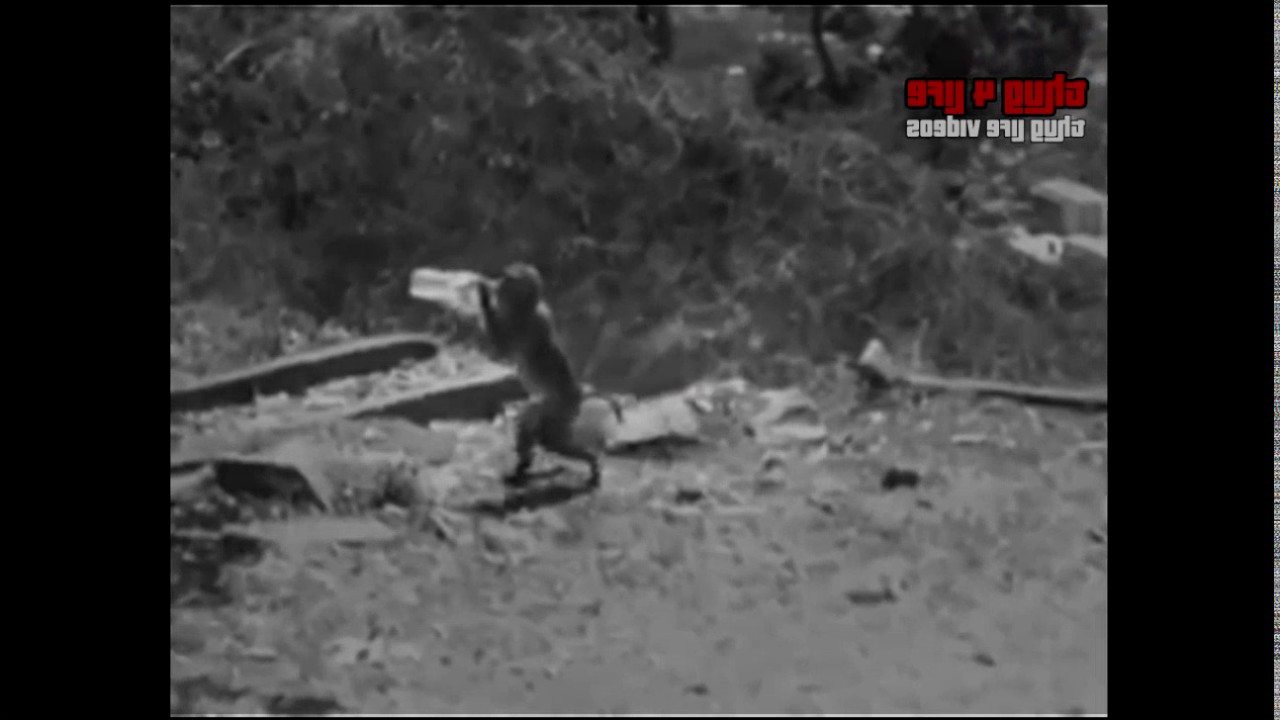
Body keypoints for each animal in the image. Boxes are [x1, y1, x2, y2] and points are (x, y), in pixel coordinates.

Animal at [477, 262, 622, 490]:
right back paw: (522, 468)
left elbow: (502, 350)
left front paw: (484, 297)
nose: (498, 283)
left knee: (554, 441)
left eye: (506, 278)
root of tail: (577, 391)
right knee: (530, 426)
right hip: (544, 407)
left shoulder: (523, 322)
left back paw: (592, 461)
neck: (527, 305)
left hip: (560, 410)